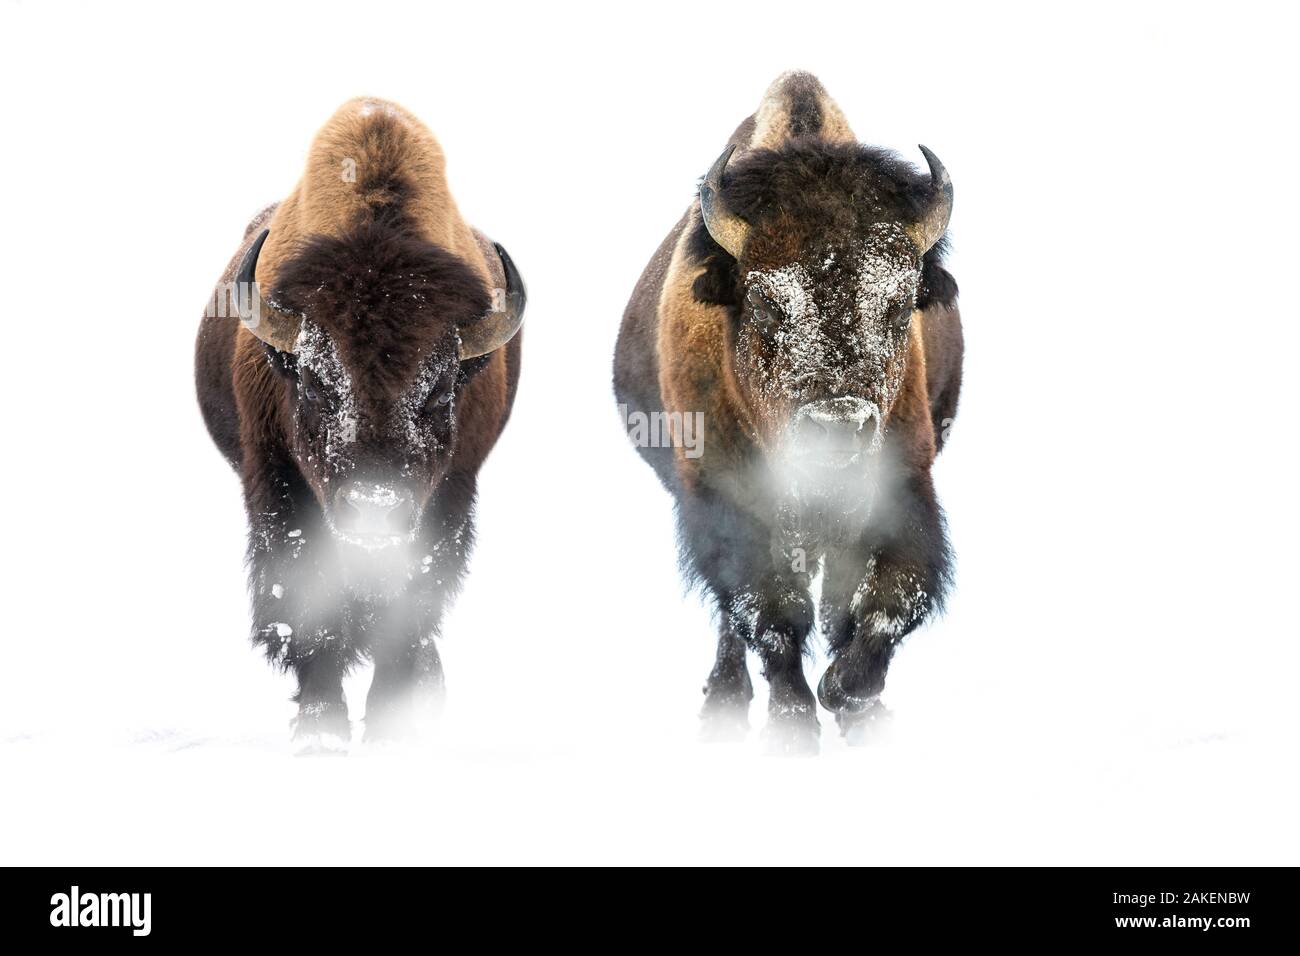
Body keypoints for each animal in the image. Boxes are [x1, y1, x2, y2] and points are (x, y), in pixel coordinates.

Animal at [196, 98, 525, 747]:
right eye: (315, 384)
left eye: (441, 391)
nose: (375, 510)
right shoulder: (279, 487)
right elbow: (308, 607)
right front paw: (319, 732)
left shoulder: (448, 498)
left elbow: (410, 606)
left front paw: (391, 730)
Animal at [614, 72, 962, 752]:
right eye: (768, 304)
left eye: (899, 305)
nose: (839, 429)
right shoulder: (725, 505)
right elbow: (769, 617)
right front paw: (793, 727)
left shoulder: (904, 487)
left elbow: (888, 604)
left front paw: (850, 698)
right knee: (736, 621)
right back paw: (724, 701)